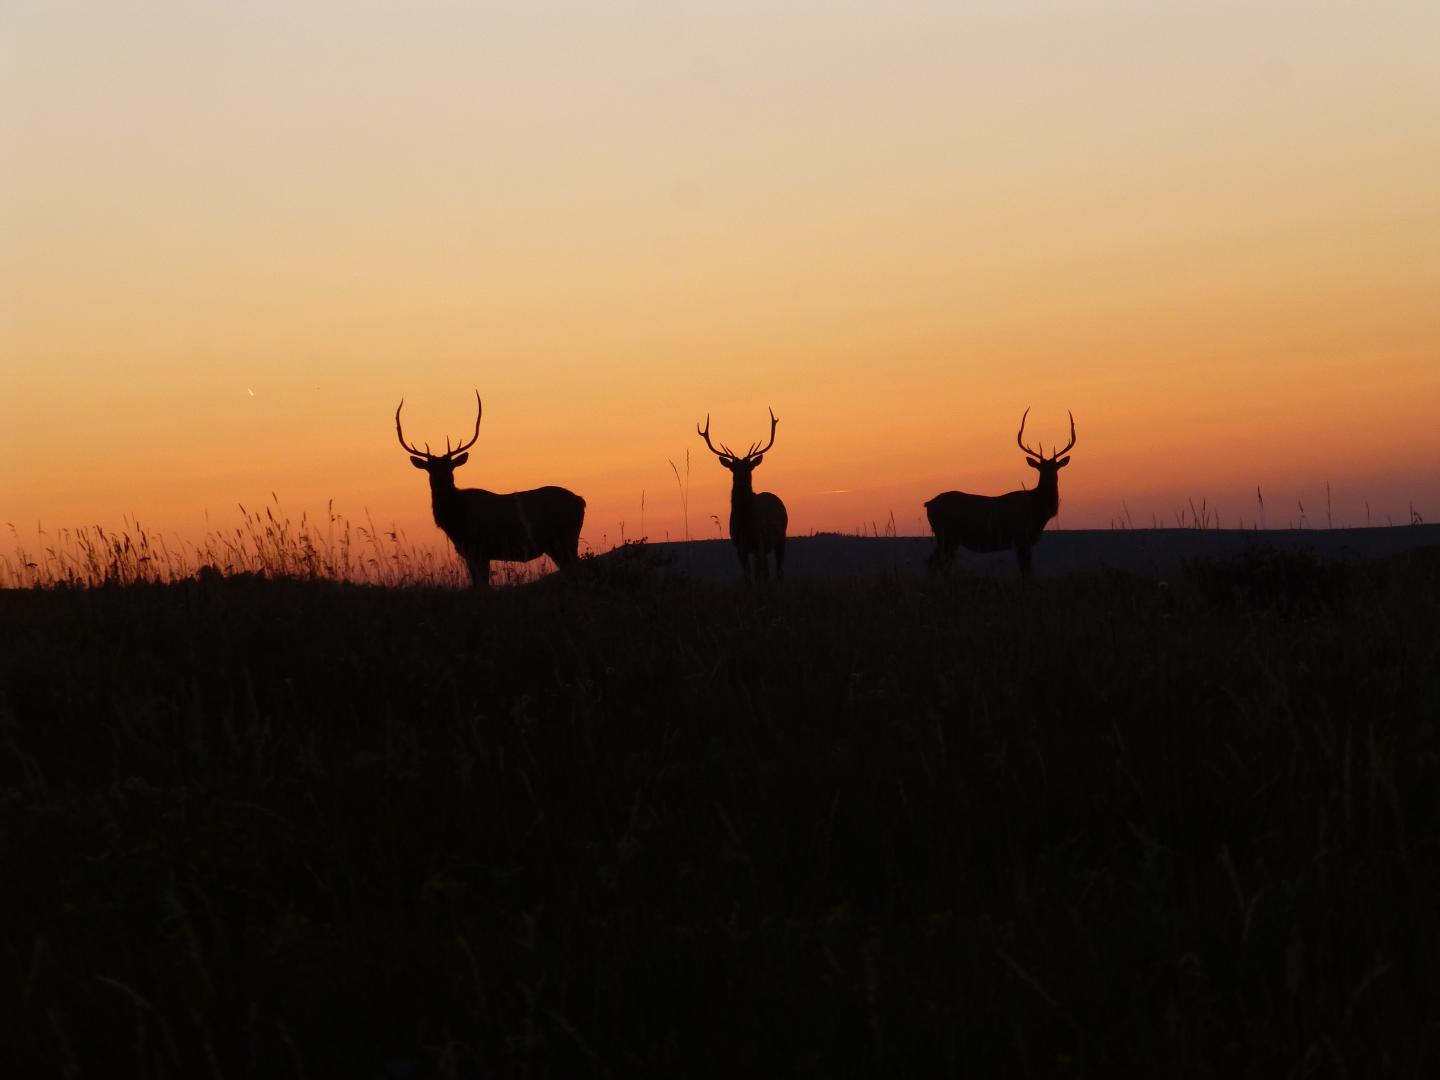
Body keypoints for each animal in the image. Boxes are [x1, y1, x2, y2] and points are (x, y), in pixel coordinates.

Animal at [396, 391, 586, 588]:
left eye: (450, 468)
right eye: (430, 469)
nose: (440, 482)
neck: (456, 519)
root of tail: (581, 501)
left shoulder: (479, 547)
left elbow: (482, 585)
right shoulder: (469, 552)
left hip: (565, 538)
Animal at [698, 407, 788, 582]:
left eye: (749, 467)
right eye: (733, 468)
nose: (741, 481)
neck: (745, 522)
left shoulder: (760, 539)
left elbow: (763, 573)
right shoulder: (739, 544)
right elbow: (747, 576)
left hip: (781, 537)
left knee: (778, 570)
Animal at [925, 408, 1076, 580]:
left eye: (1056, 468)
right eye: (1040, 468)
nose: (1049, 478)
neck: (1036, 508)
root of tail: (928, 504)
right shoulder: (1021, 537)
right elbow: (1026, 571)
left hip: (947, 537)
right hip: (947, 534)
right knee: (933, 562)